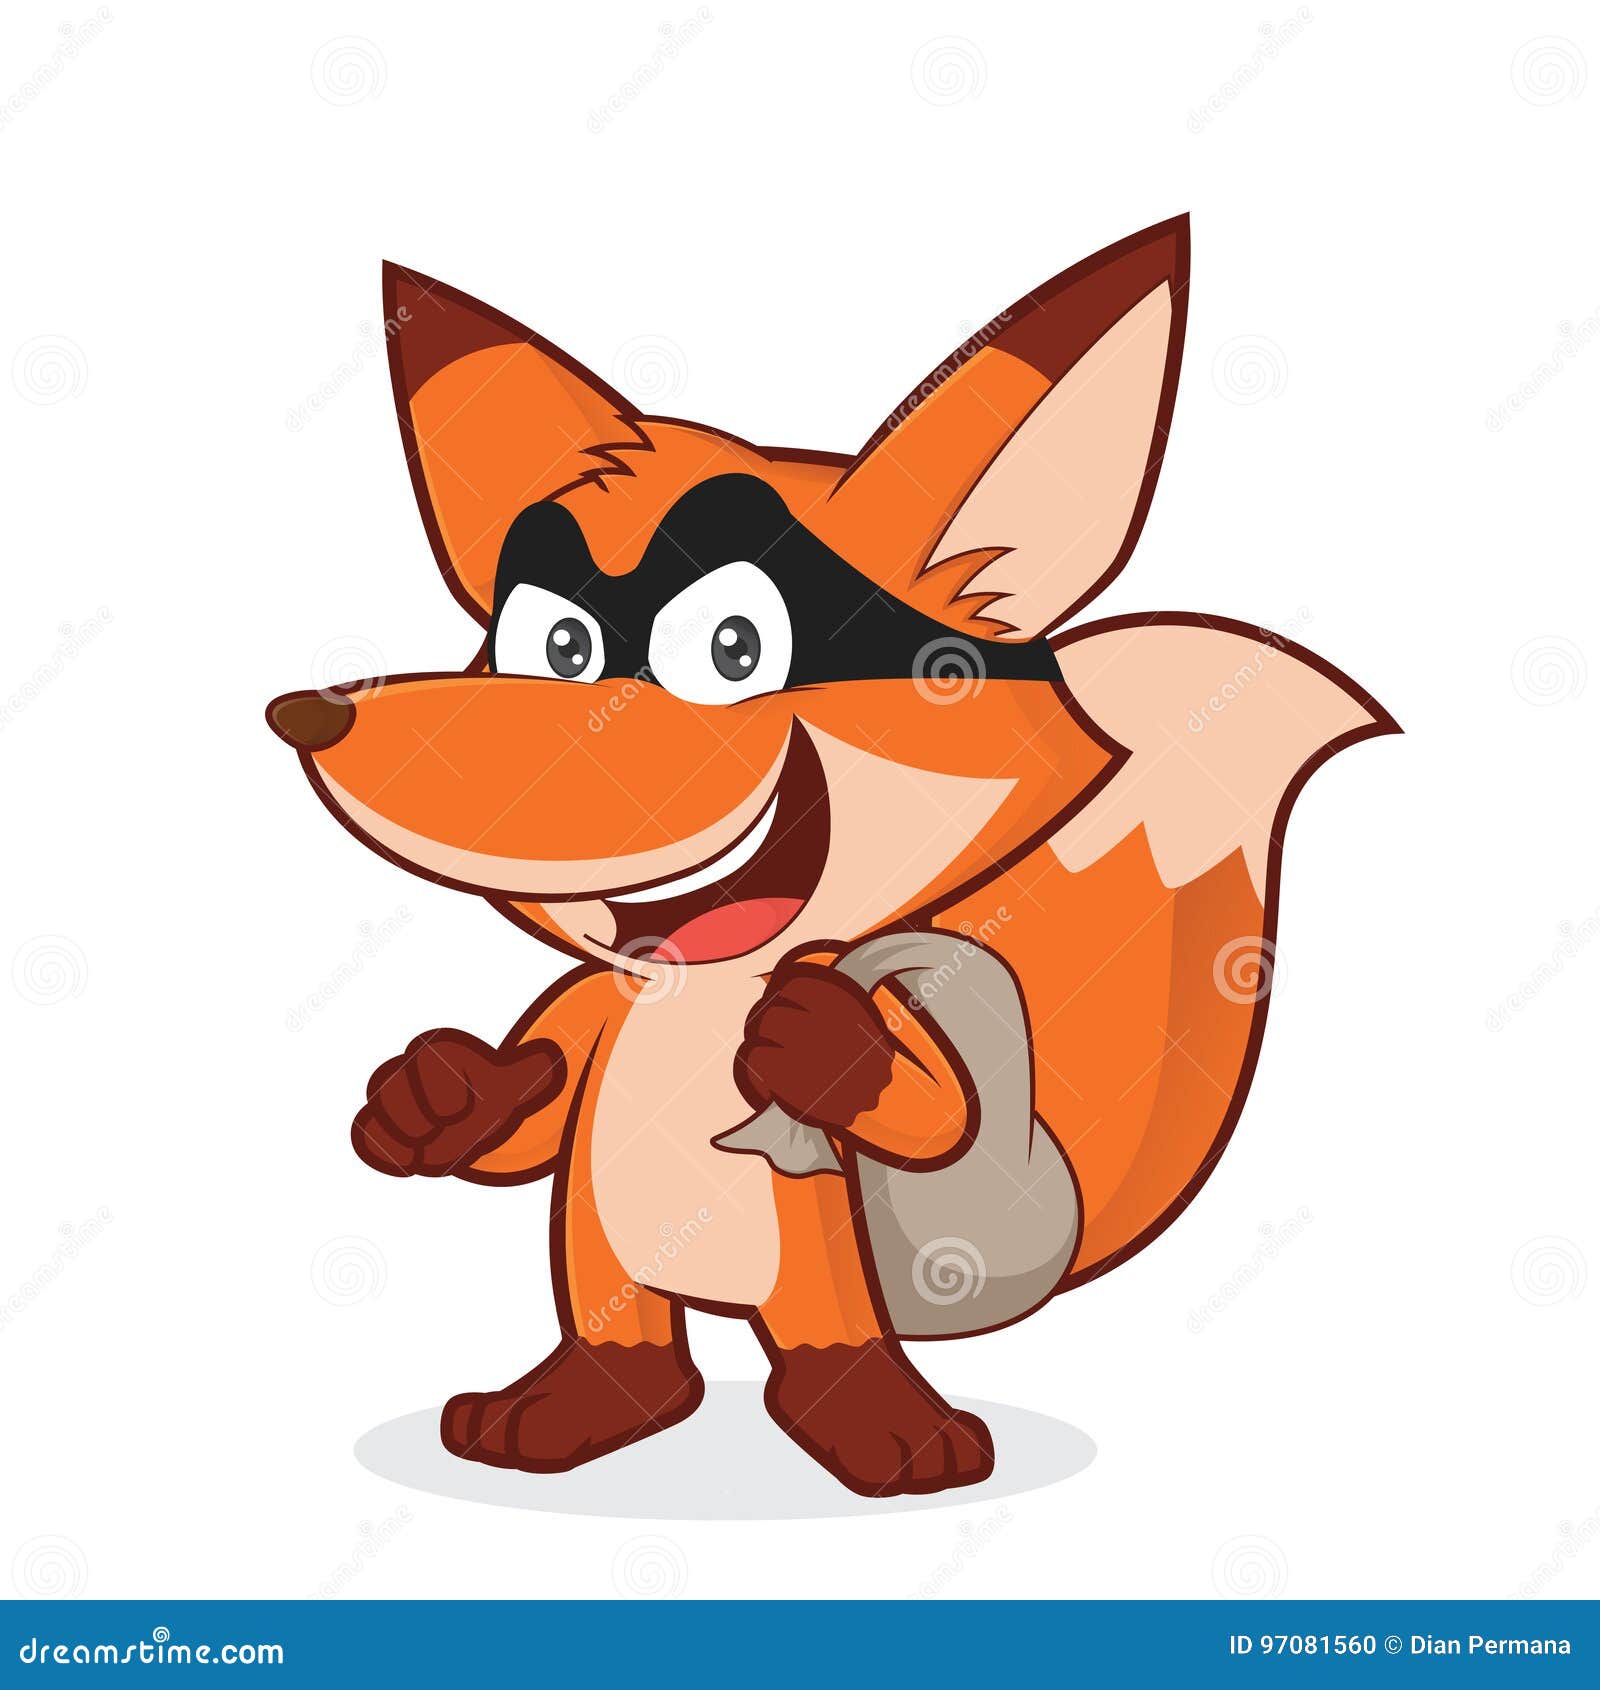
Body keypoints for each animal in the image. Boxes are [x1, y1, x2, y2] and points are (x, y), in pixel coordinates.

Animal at [267, 216, 1394, 1498]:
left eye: (733, 648)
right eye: (556, 645)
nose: (312, 715)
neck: (700, 991)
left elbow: (933, 1112)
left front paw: (824, 1047)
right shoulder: (593, 1008)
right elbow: (525, 1119)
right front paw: (440, 1094)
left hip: (816, 1268)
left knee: (819, 1346)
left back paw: (876, 1421)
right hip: (610, 1263)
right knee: (635, 1348)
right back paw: (573, 1402)